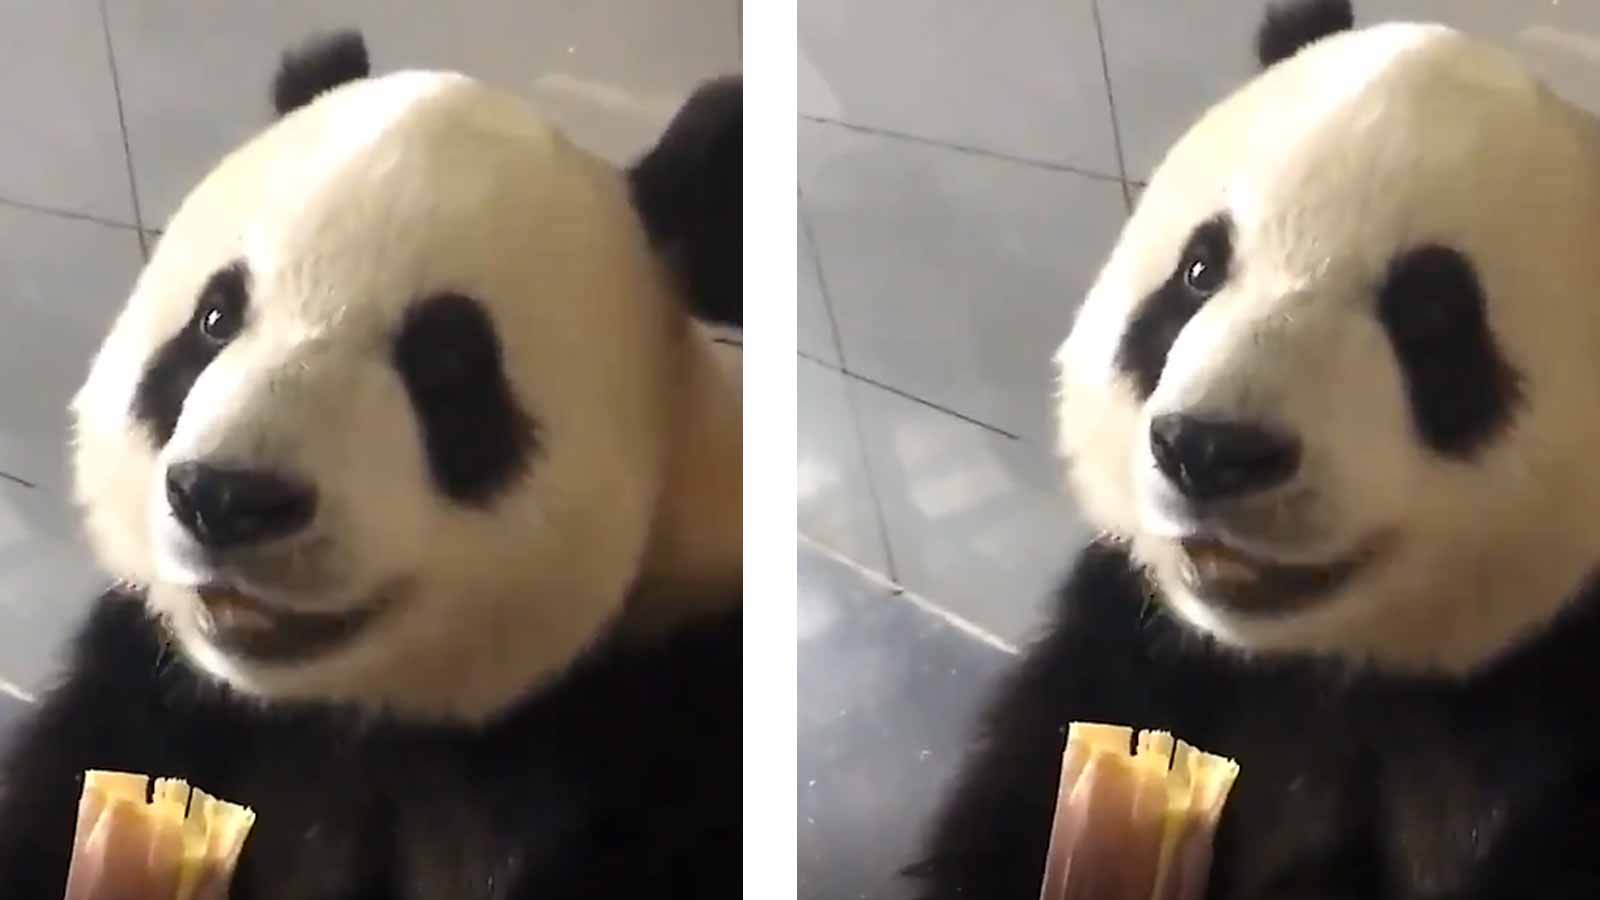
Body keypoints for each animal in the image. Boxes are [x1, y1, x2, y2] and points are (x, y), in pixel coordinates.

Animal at [0, 30, 741, 900]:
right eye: (215, 320)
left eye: (447, 365)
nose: (228, 497)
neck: (357, 712)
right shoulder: (156, 701)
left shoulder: (657, 730)